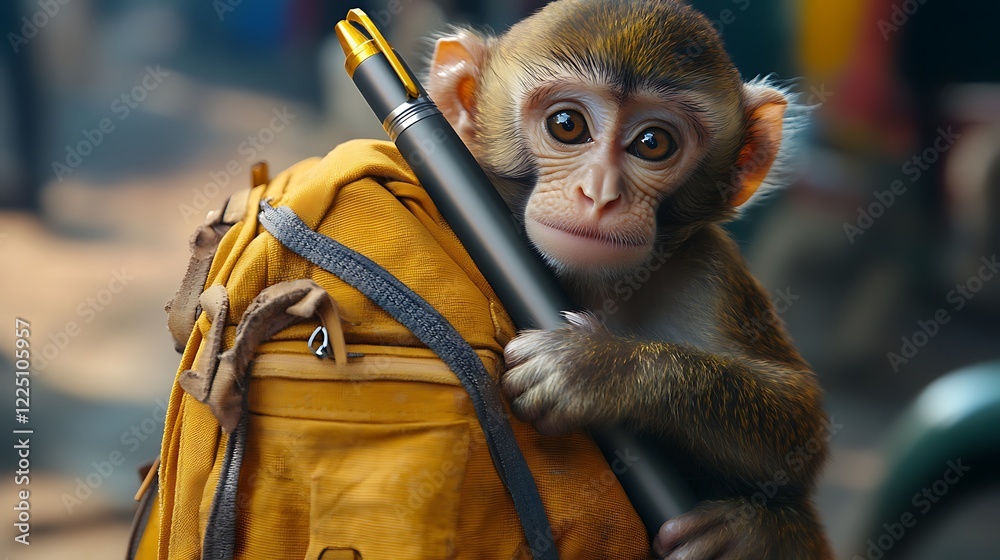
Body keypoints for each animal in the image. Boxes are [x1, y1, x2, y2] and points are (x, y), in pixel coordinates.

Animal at [425, 0, 833, 558]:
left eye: (652, 143)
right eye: (567, 125)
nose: (600, 193)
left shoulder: (708, 272)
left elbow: (801, 423)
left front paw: (597, 368)